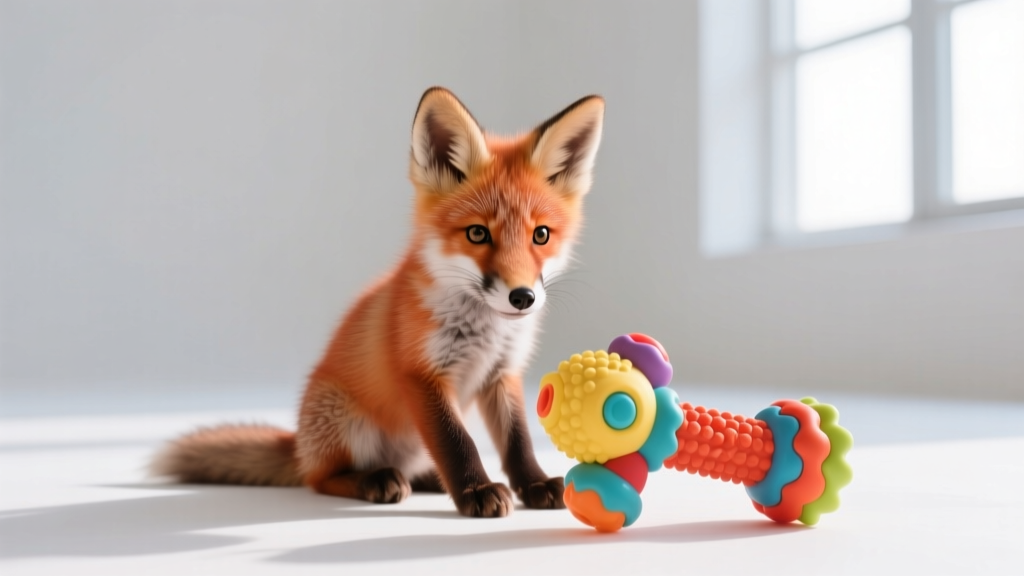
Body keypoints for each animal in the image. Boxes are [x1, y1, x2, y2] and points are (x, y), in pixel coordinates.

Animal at [152, 87, 605, 517]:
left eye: (541, 235)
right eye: (477, 234)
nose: (522, 297)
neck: (485, 330)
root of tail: (299, 446)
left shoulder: (502, 374)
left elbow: (517, 441)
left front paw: (533, 483)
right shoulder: (421, 374)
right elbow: (457, 442)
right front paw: (475, 491)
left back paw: (429, 480)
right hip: (347, 424)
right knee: (322, 479)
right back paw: (375, 480)